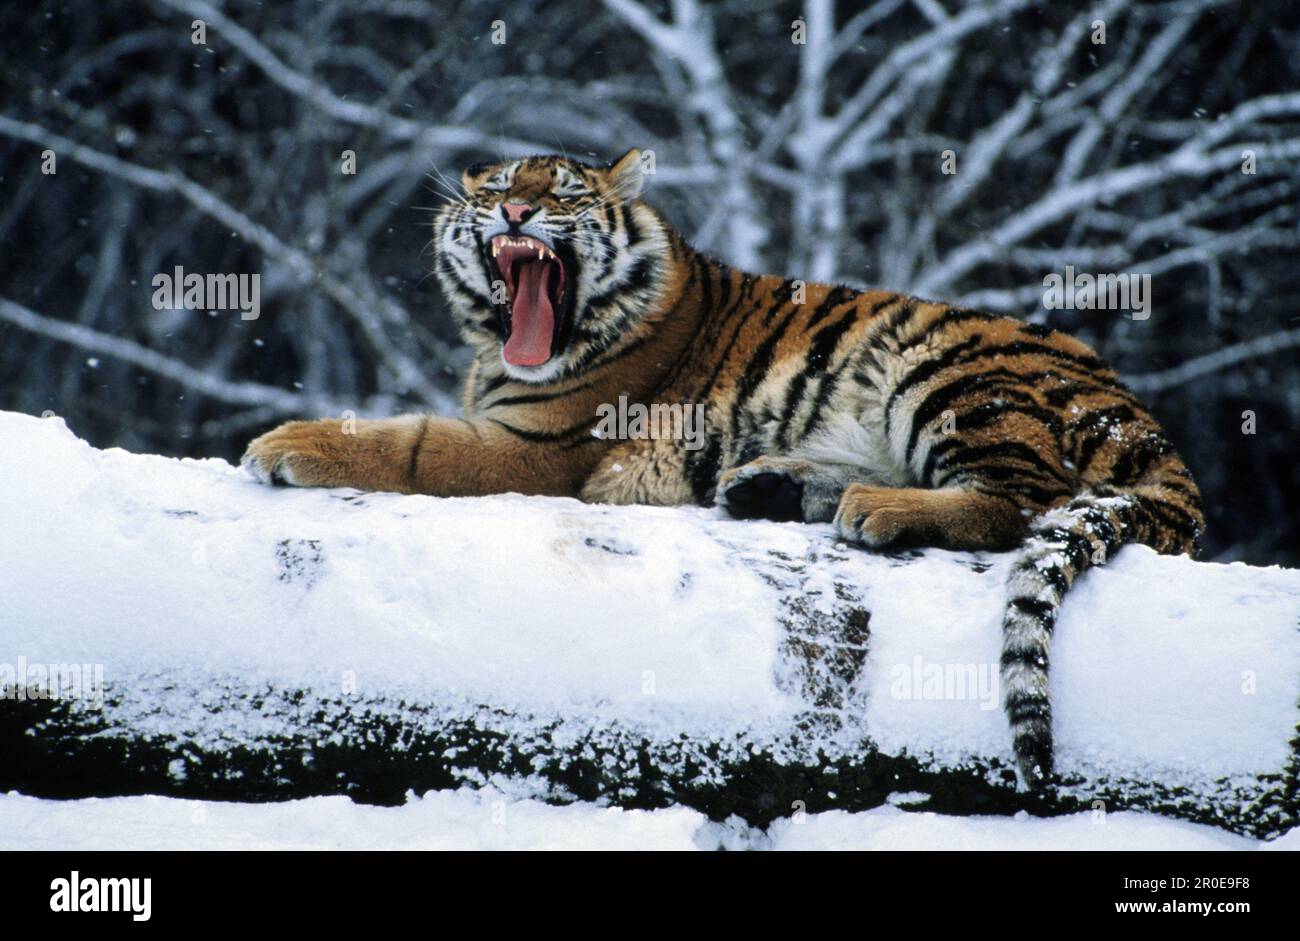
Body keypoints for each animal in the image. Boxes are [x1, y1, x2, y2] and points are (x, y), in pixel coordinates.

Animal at [242, 149, 1205, 787]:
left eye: (559, 192)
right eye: (496, 189)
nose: (512, 216)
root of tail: (1145, 423)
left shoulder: (538, 443)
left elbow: (408, 442)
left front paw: (285, 444)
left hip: (947, 369)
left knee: (1026, 500)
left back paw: (877, 510)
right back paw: (768, 485)